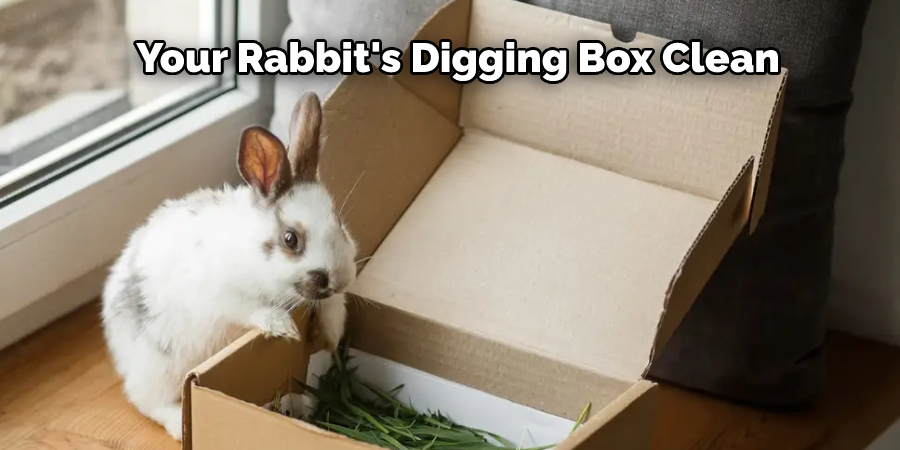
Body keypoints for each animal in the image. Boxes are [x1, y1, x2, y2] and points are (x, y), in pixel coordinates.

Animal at [100, 92, 358, 441]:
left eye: (339, 223)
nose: (341, 278)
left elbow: (331, 306)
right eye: (290, 240)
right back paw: (178, 425)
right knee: (146, 400)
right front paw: (284, 328)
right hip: (162, 367)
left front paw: (331, 335)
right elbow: (251, 309)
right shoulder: (223, 297)